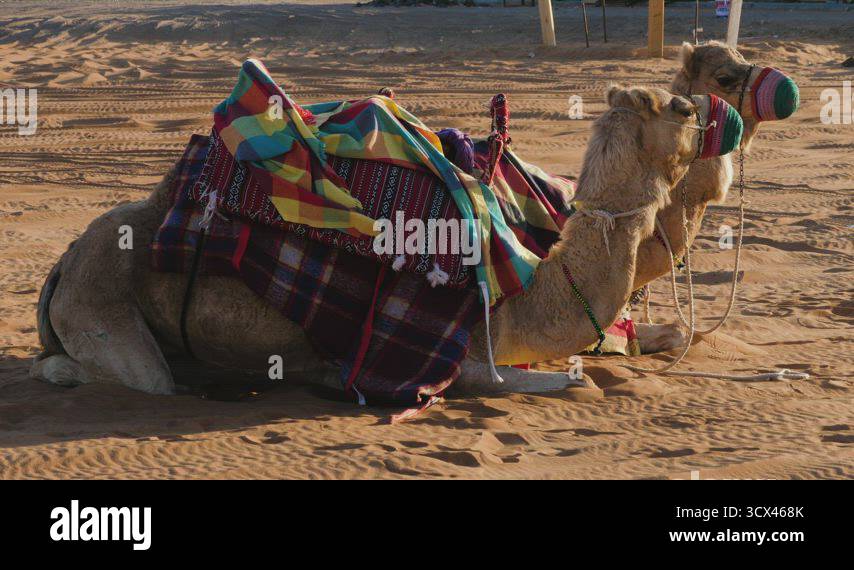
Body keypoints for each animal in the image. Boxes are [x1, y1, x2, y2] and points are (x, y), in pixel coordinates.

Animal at [31, 86, 722, 397]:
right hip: (103, 306)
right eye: (677, 109)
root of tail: (63, 262)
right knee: (136, 378)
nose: (708, 112)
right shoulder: (466, 358)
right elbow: (563, 382)